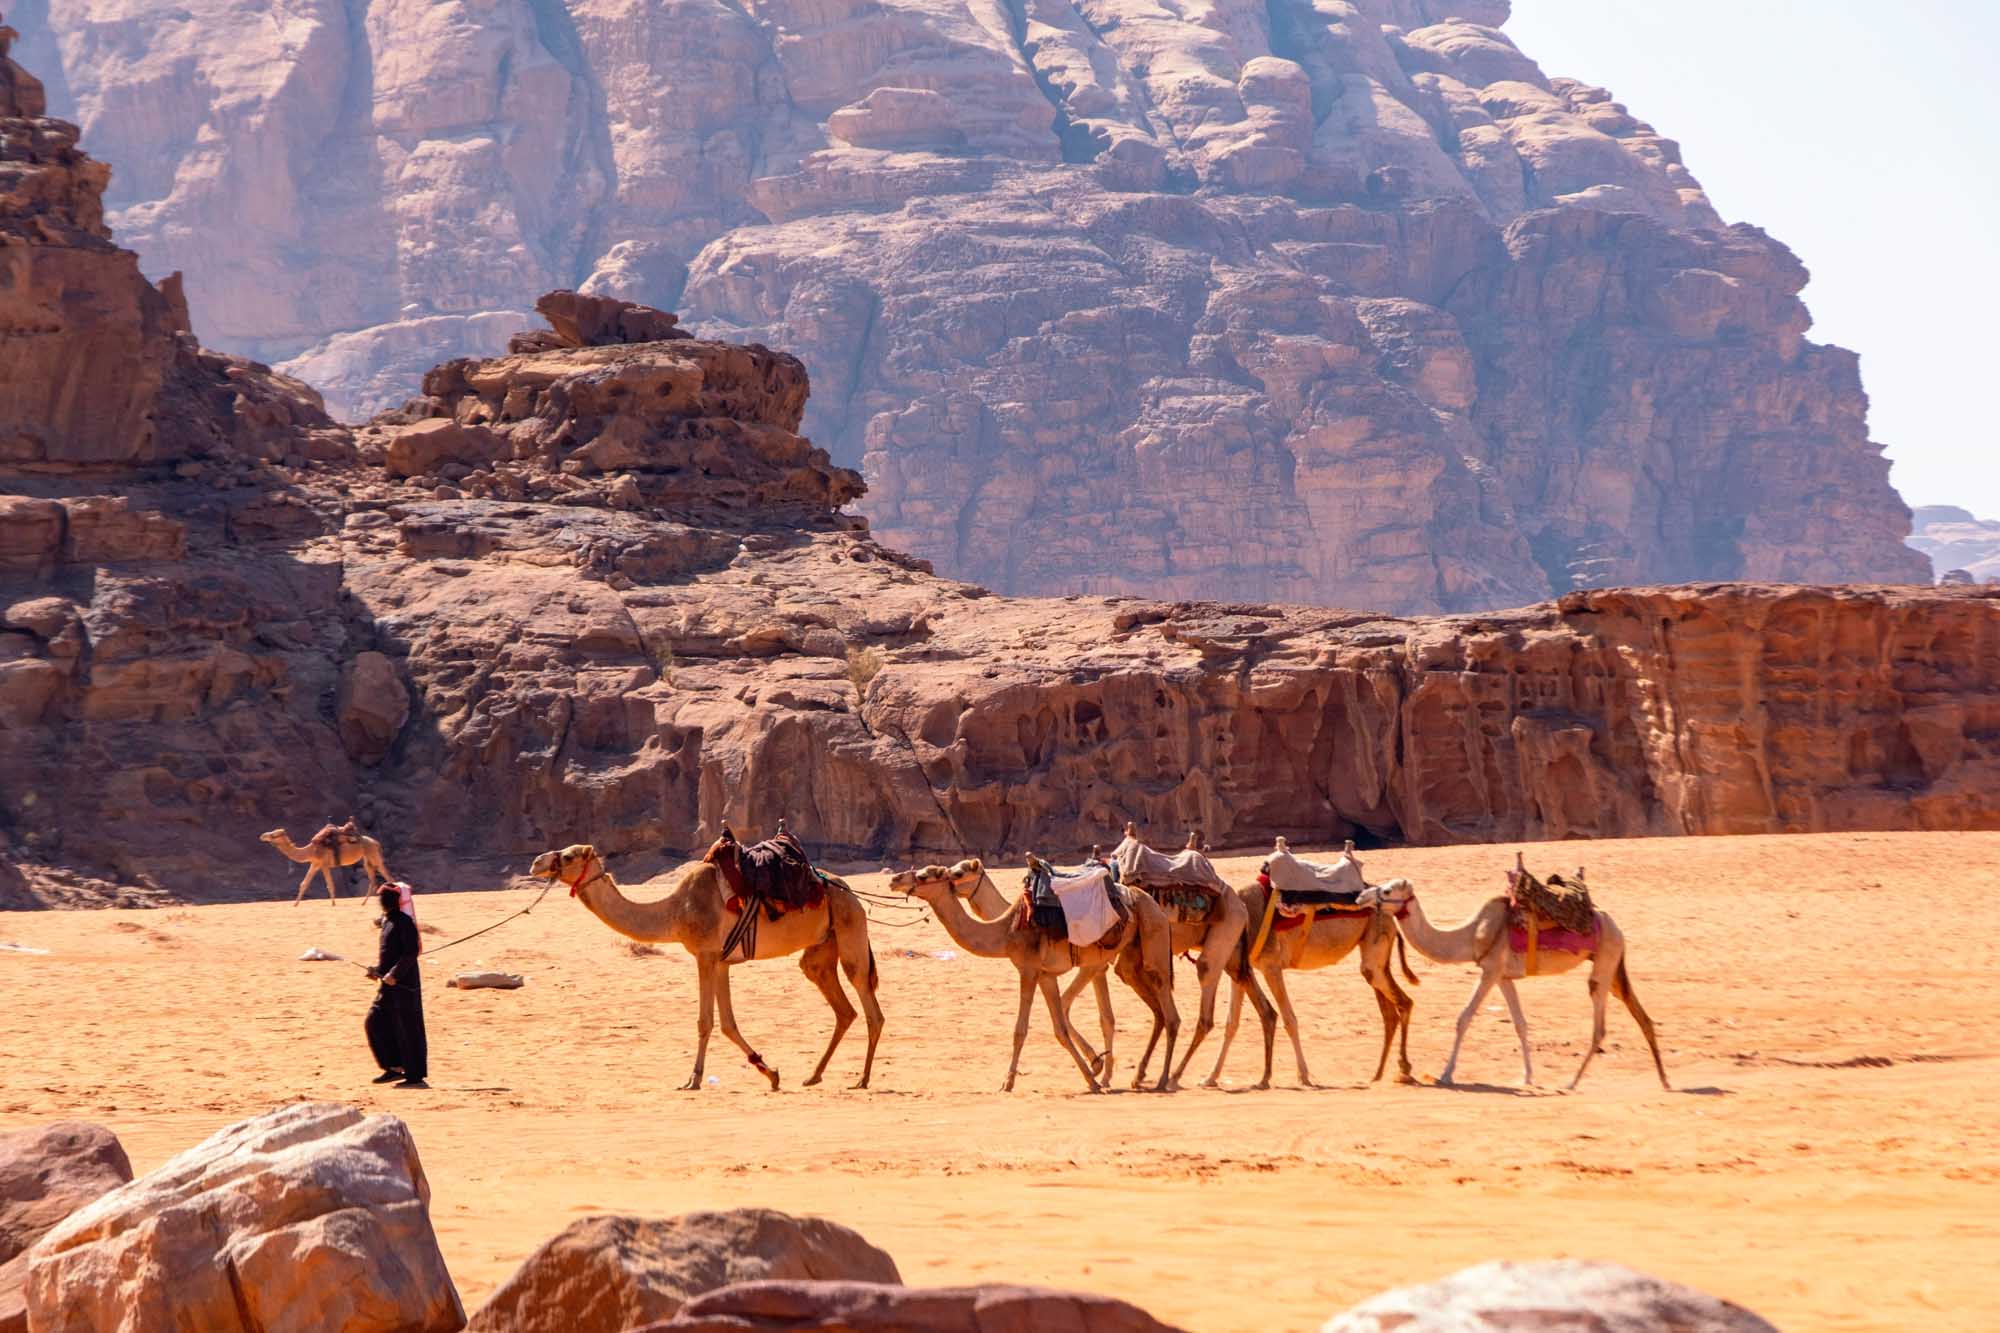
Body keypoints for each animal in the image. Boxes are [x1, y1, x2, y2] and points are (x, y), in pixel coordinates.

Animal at [260, 825, 393, 904]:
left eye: (273, 835)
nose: (262, 835)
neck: (310, 850)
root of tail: (376, 842)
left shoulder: (323, 864)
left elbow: (330, 884)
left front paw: (333, 904)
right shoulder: (314, 864)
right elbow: (304, 884)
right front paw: (295, 904)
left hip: (373, 855)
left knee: (387, 875)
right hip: (367, 859)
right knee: (372, 879)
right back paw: (363, 903)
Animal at [528, 841, 883, 1091]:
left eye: (569, 856)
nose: (536, 863)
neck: (675, 910)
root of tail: (850, 891)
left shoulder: (705, 955)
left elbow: (705, 1021)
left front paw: (693, 1080)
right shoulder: (721, 960)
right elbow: (727, 1024)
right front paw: (771, 1074)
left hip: (850, 927)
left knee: (868, 1002)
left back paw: (863, 1079)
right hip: (821, 949)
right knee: (842, 1006)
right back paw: (814, 1075)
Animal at [892, 857, 1181, 1092]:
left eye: (924, 876)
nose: (895, 880)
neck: (1006, 930)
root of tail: (1152, 903)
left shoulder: (1029, 969)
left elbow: (1021, 1030)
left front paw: (1007, 1082)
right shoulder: (1046, 974)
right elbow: (1060, 1028)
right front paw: (1093, 1077)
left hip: (1153, 946)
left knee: (1171, 1015)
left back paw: (1164, 1079)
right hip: (1131, 963)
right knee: (1157, 1012)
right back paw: (1141, 1076)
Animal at [1357, 868, 1668, 1091]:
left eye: (1387, 889)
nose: (1361, 896)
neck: (1471, 935)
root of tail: (1615, 927)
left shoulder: (1491, 969)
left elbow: (1463, 1017)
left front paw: (1445, 1074)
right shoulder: (1503, 976)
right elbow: (1520, 1023)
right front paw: (1527, 1077)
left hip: (1604, 959)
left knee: (1600, 1025)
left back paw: (1572, 1082)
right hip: (1612, 965)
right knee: (1639, 1013)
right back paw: (1664, 1080)